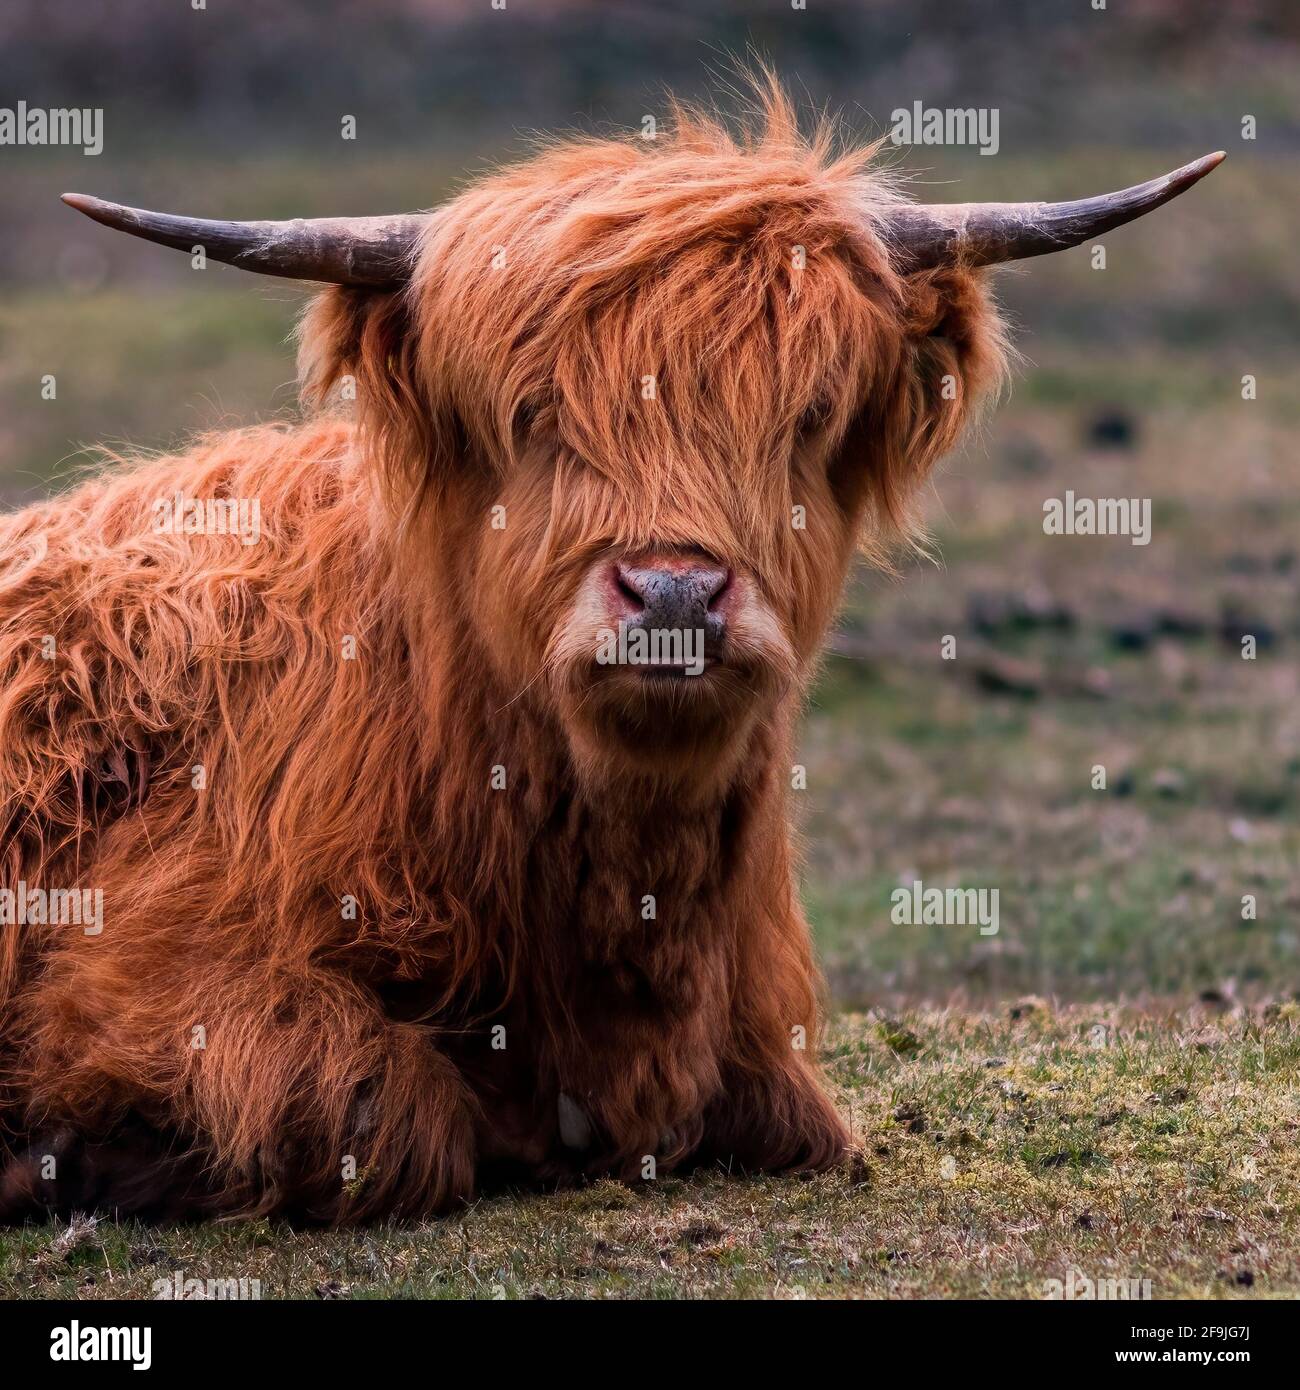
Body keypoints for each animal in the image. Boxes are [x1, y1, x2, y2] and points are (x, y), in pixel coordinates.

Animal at [0, 84, 1220, 1221]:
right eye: (532, 416)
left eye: (809, 414)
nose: (674, 591)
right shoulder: (156, 972)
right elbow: (380, 1116)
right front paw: (76, 1151)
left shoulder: (764, 1068)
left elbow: (799, 1125)